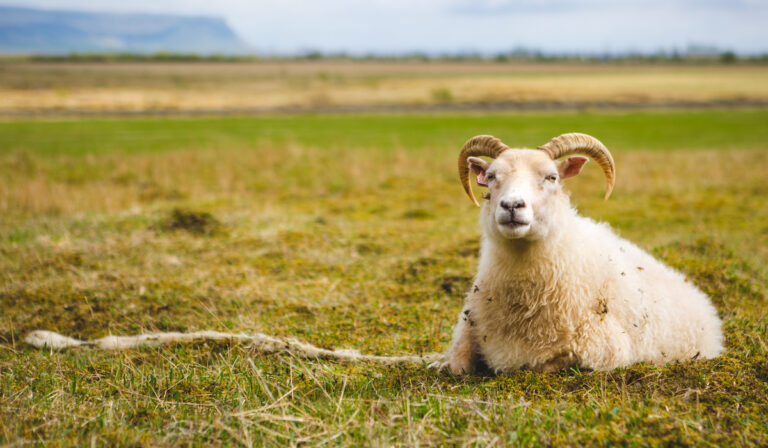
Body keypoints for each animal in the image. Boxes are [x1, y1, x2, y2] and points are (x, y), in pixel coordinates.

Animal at [443, 133, 724, 374]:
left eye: (552, 177)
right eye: (491, 176)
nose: (512, 205)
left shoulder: (603, 349)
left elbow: (547, 364)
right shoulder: (467, 326)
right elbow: (457, 366)